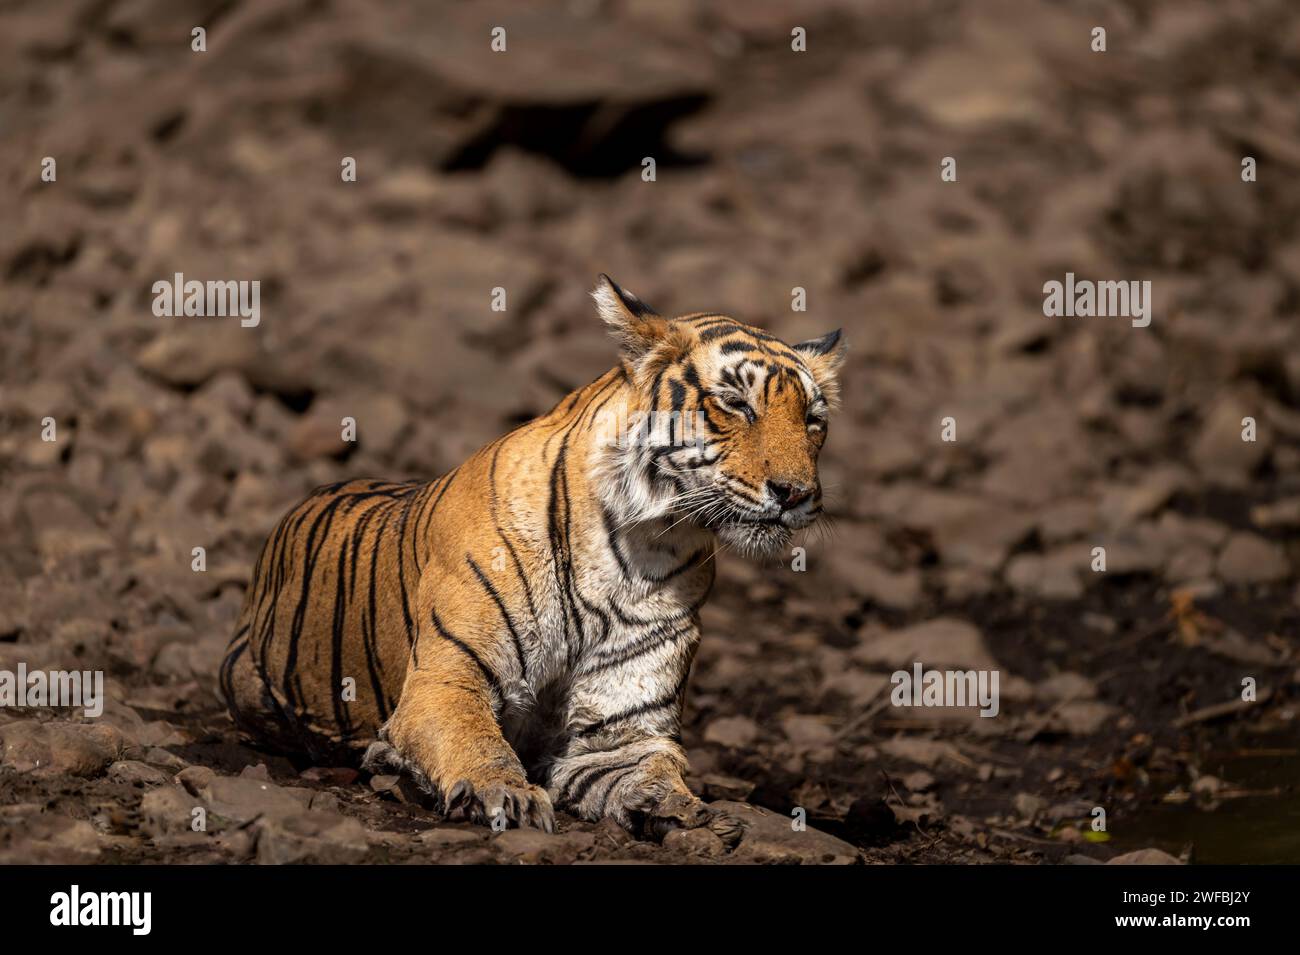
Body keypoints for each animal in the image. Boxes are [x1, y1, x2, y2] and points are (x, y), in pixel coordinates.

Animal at [220, 275, 845, 839]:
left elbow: (653, 770)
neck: (641, 545)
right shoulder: (447, 679)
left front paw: (687, 811)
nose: (796, 493)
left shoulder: (618, 732)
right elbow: (477, 740)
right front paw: (508, 795)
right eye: (736, 404)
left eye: (814, 421)